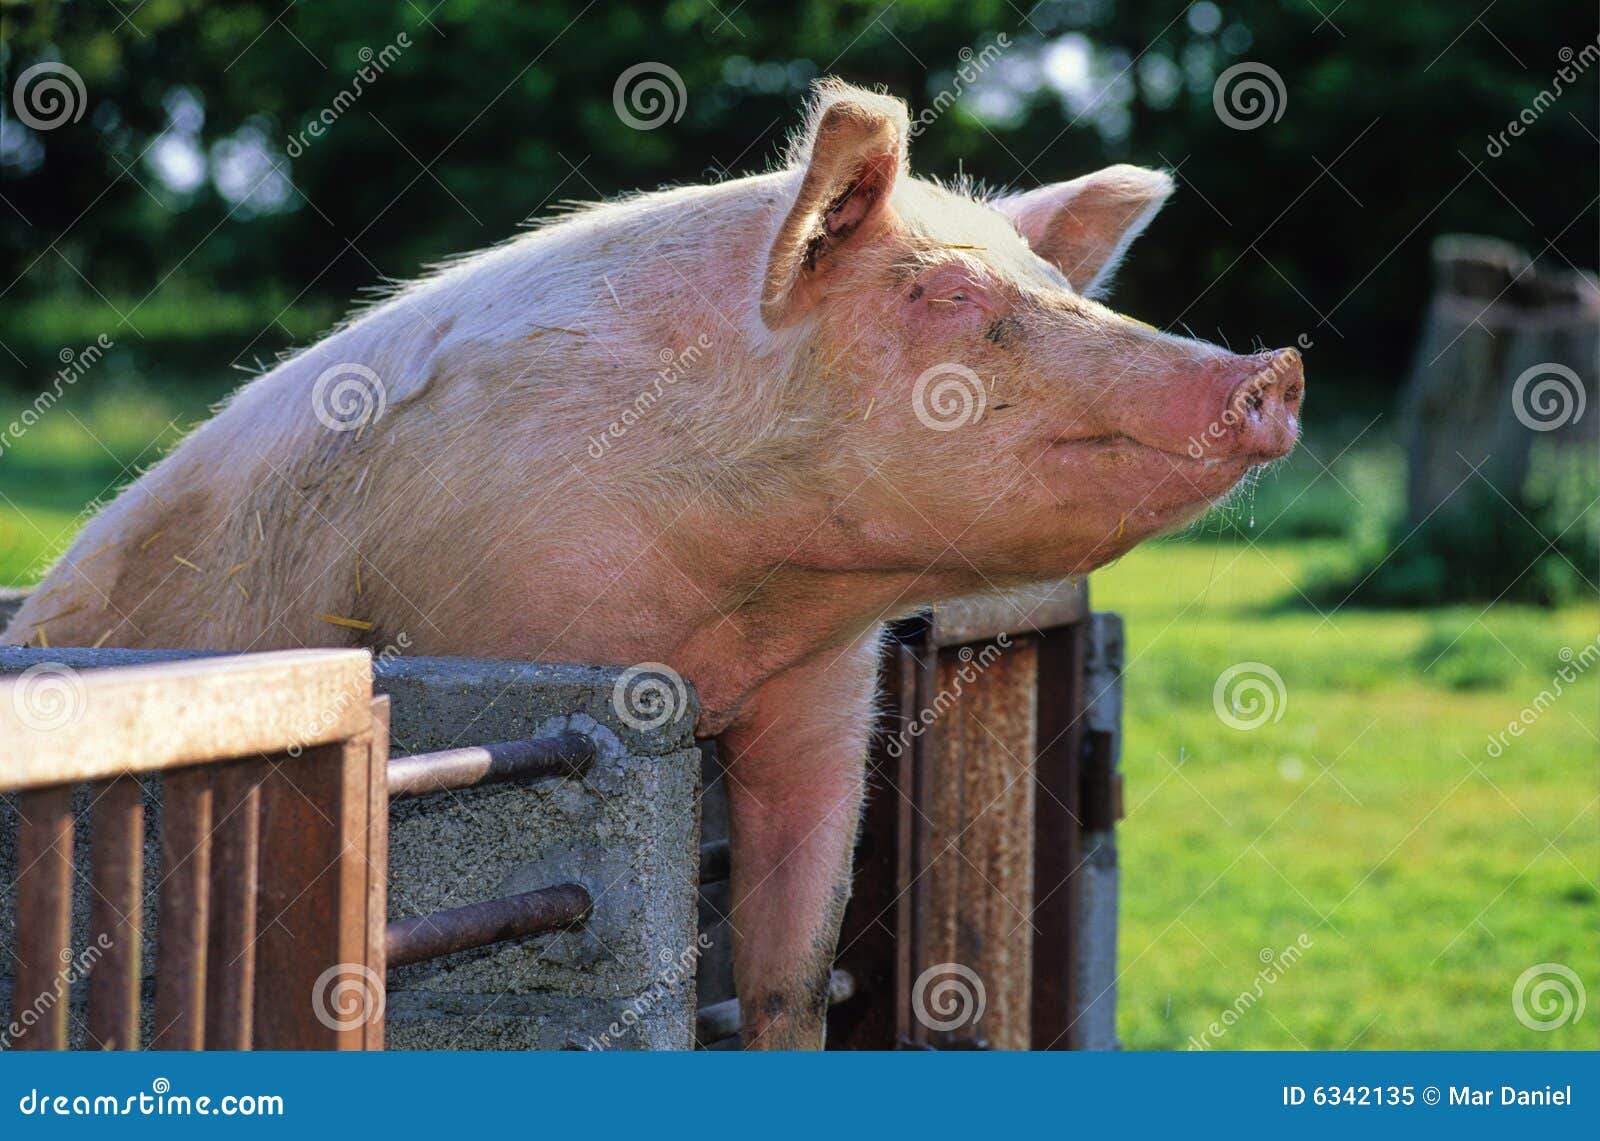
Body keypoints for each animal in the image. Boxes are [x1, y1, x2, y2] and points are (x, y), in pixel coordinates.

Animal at [4, 79, 1302, 1049]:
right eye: (943, 290)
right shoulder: (531, 637)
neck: (754, 603)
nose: (1272, 367)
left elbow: (792, 962)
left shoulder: (822, 689)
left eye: (1052, 287)